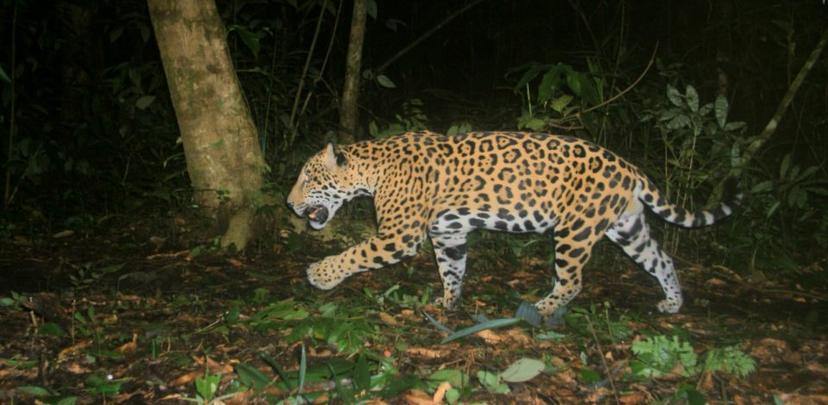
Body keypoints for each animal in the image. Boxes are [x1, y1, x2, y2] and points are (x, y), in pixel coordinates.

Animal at [287, 131, 740, 318]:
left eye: (307, 177)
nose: (289, 204)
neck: (373, 168)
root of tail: (628, 166)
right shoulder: (448, 232)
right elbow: (452, 268)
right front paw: (449, 303)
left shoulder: (399, 235)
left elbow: (356, 253)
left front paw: (321, 274)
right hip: (627, 228)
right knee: (661, 259)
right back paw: (672, 302)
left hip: (574, 232)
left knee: (573, 280)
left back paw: (542, 308)